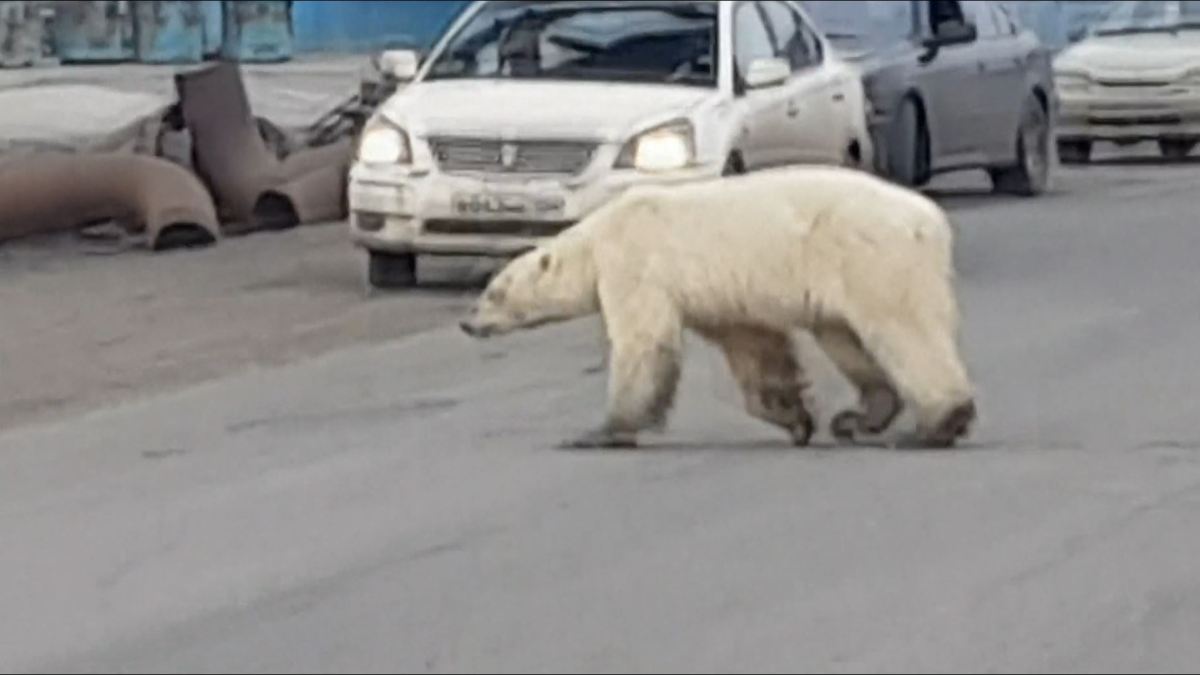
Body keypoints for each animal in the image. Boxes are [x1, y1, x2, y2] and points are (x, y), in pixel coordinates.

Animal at [459, 164, 976, 450]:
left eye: (492, 292)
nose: (467, 324)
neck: (597, 236)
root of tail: (931, 220)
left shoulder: (635, 265)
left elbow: (644, 344)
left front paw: (601, 432)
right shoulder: (725, 299)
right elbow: (754, 348)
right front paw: (794, 419)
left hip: (870, 255)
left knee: (901, 328)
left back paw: (938, 424)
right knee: (844, 336)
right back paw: (858, 418)